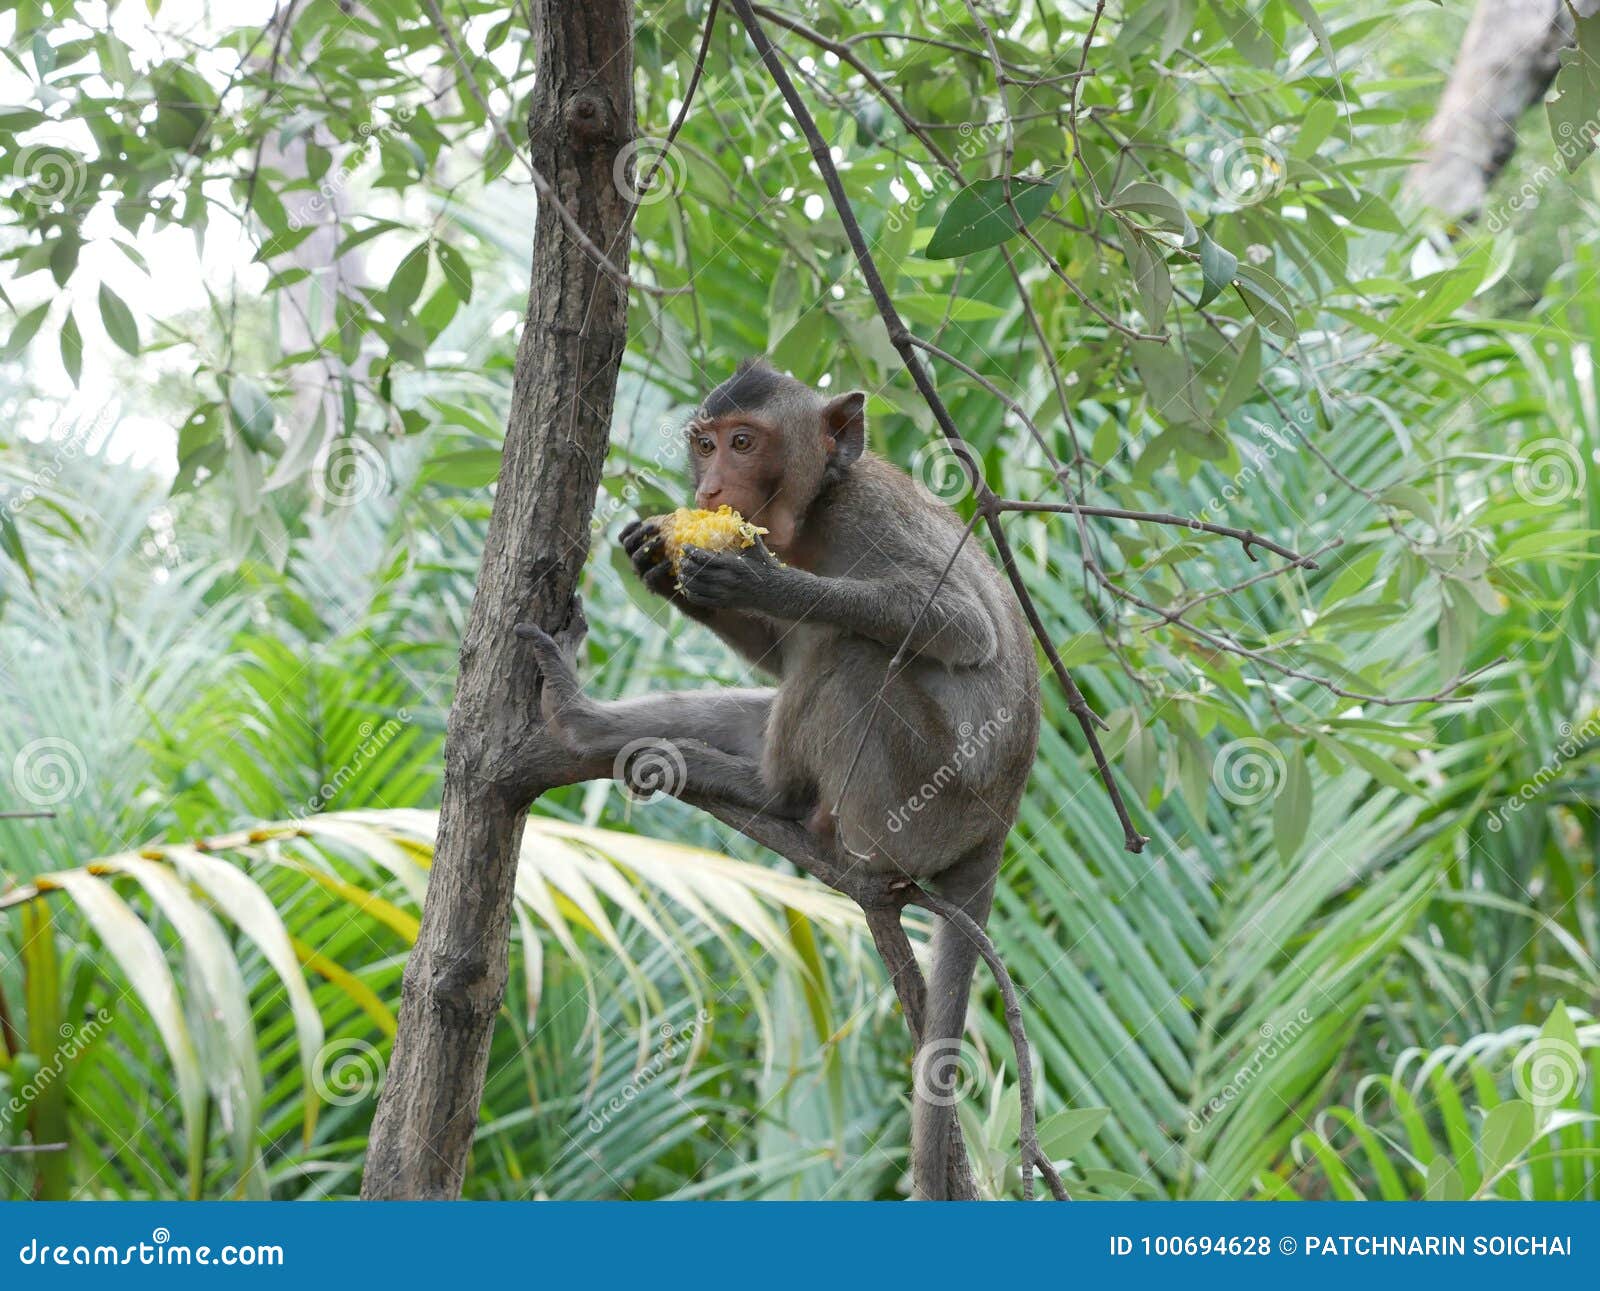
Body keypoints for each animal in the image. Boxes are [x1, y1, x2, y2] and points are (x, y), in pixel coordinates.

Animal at [523, 359, 1040, 1199]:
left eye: (744, 442)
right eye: (703, 444)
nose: (708, 489)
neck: (820, 505)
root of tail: (997, 826)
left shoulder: (867, 519)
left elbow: (962, 627)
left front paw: (756, 579)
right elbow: (780, 655)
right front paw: (658, 564)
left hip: (910, 808)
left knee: (848, 648)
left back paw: (777, 795)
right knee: (771, 699)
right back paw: (583, 720)